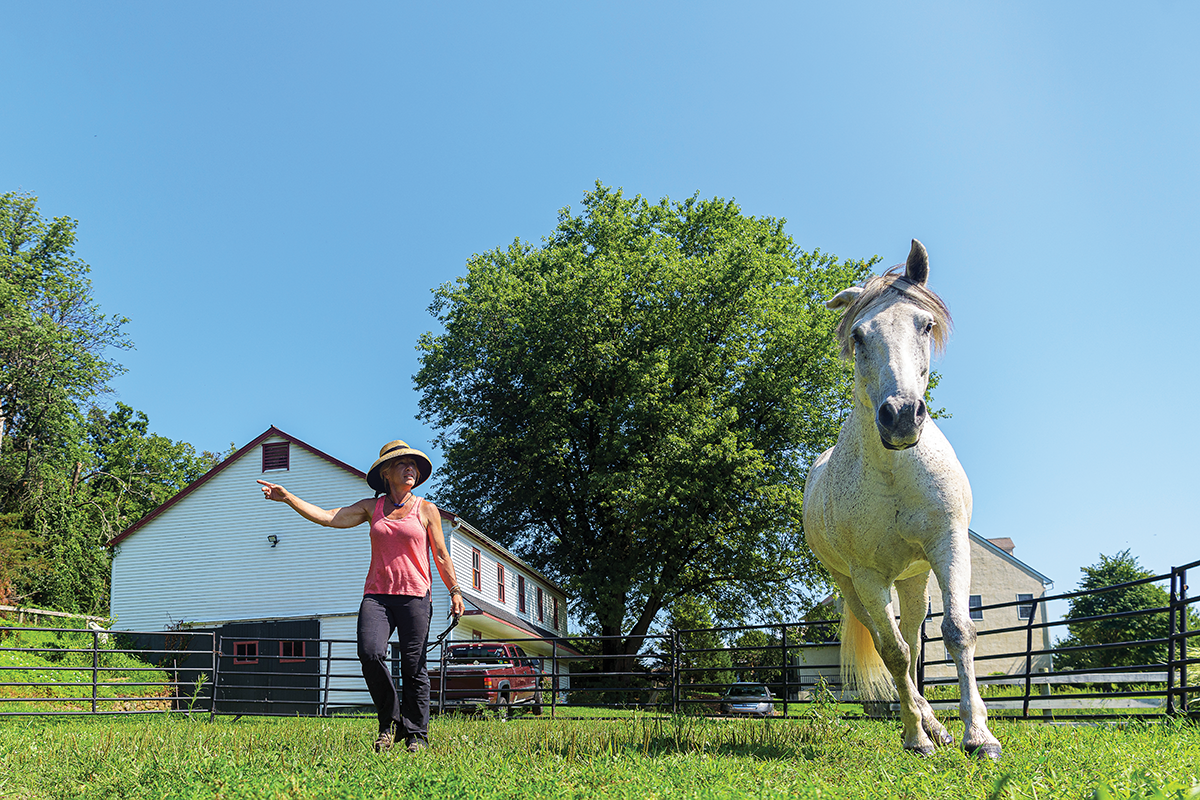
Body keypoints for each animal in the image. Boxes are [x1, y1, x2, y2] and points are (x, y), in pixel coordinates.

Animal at [803, 239, 1001, 759]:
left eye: (924, 325)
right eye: (859, 335)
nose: (901, 416)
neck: (894, 472)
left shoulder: (949, 545)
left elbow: (958, 631)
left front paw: (980, 737)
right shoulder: (869, 577)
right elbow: (891, 652)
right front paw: (916, 738)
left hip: (914, 579)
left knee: (915, 643)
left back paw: (941, 727)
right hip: (854, 586)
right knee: (893, 645)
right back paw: (926, 729)